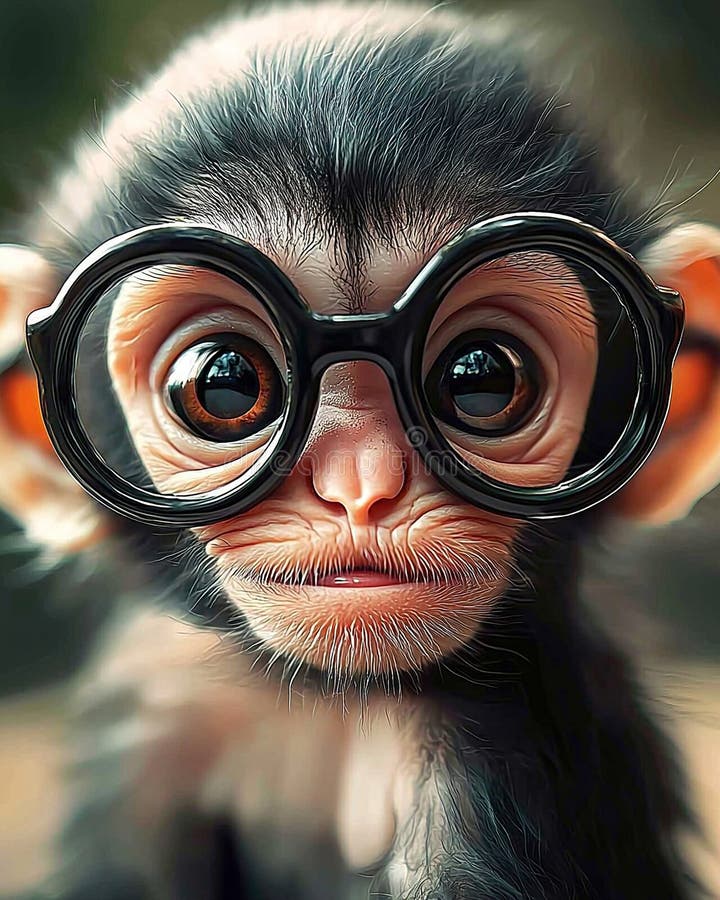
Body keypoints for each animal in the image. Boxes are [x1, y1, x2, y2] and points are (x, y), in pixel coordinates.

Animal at [1, 4, 720, 898]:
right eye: (225, 381)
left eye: (482, 375)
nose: (360, 485)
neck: (331, 698)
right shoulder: (152, 694)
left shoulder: (504, 757)